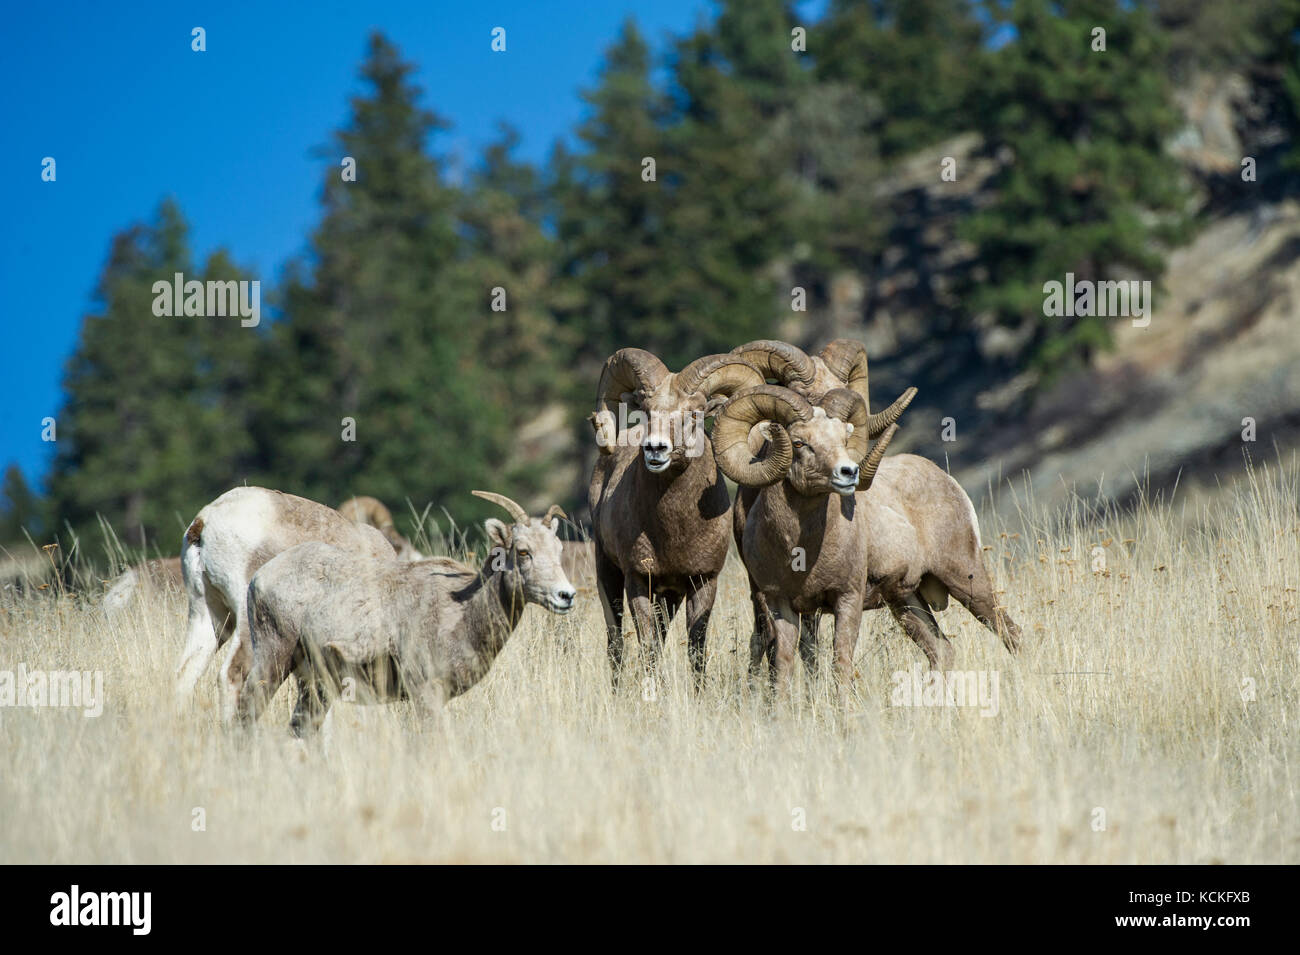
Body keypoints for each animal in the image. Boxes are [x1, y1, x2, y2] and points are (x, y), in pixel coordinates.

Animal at [235, 491, 576, 736]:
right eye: (523, 551)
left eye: (558, 550)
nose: (566, 596)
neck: (463, 613)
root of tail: (261, 577)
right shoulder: (425, 694)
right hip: (273, 660)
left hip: (316, 685)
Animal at [586, 348, 765, 689]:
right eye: (645, 410)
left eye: (695, 414)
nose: (655, 449)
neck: (673, 532)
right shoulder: (638, 580)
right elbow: (647, 646)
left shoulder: (703, 582)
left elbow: (695, 649)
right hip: (608, 571)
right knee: (616, 641)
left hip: (669, 597)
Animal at [725, 340, 1021, 680]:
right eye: (798, 443)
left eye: (843, 436)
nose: (848, 472)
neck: (797, 547)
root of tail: (948, 481)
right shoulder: (778, 602)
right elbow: (784, 663)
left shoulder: (847, 599)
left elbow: (839, 663)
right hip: (906, 601)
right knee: (941, 650)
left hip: (966, 579)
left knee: (1010, 632)